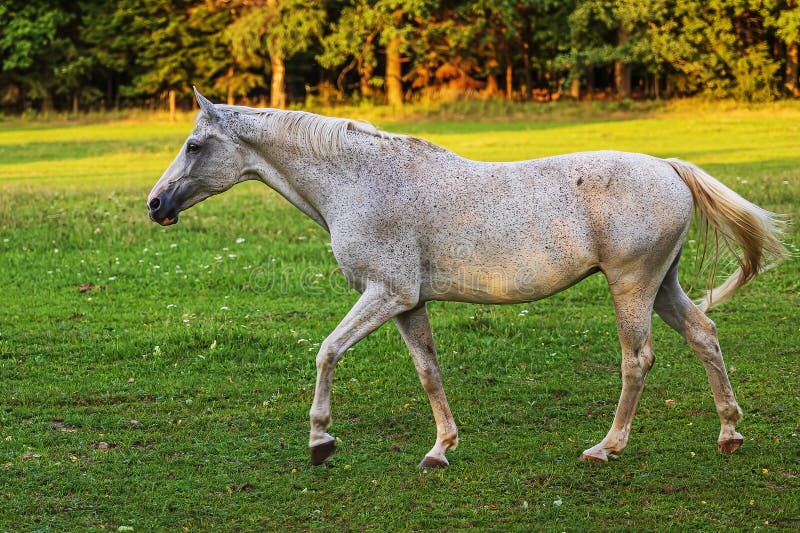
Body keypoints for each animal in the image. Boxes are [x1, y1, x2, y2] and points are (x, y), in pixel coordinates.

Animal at [148, 89, 785, 468]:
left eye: (194, 145)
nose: (156, 204)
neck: (358, 181)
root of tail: (668, 168)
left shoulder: (386, 294)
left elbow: (328, 351)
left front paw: (321, 441)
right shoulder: (407, 303)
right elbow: (428, 372)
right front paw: (441, 448)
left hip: (630, 286)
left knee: (638, 360)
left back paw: (607, 447)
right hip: (661, 286)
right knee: (703, 335)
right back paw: (729, 434)